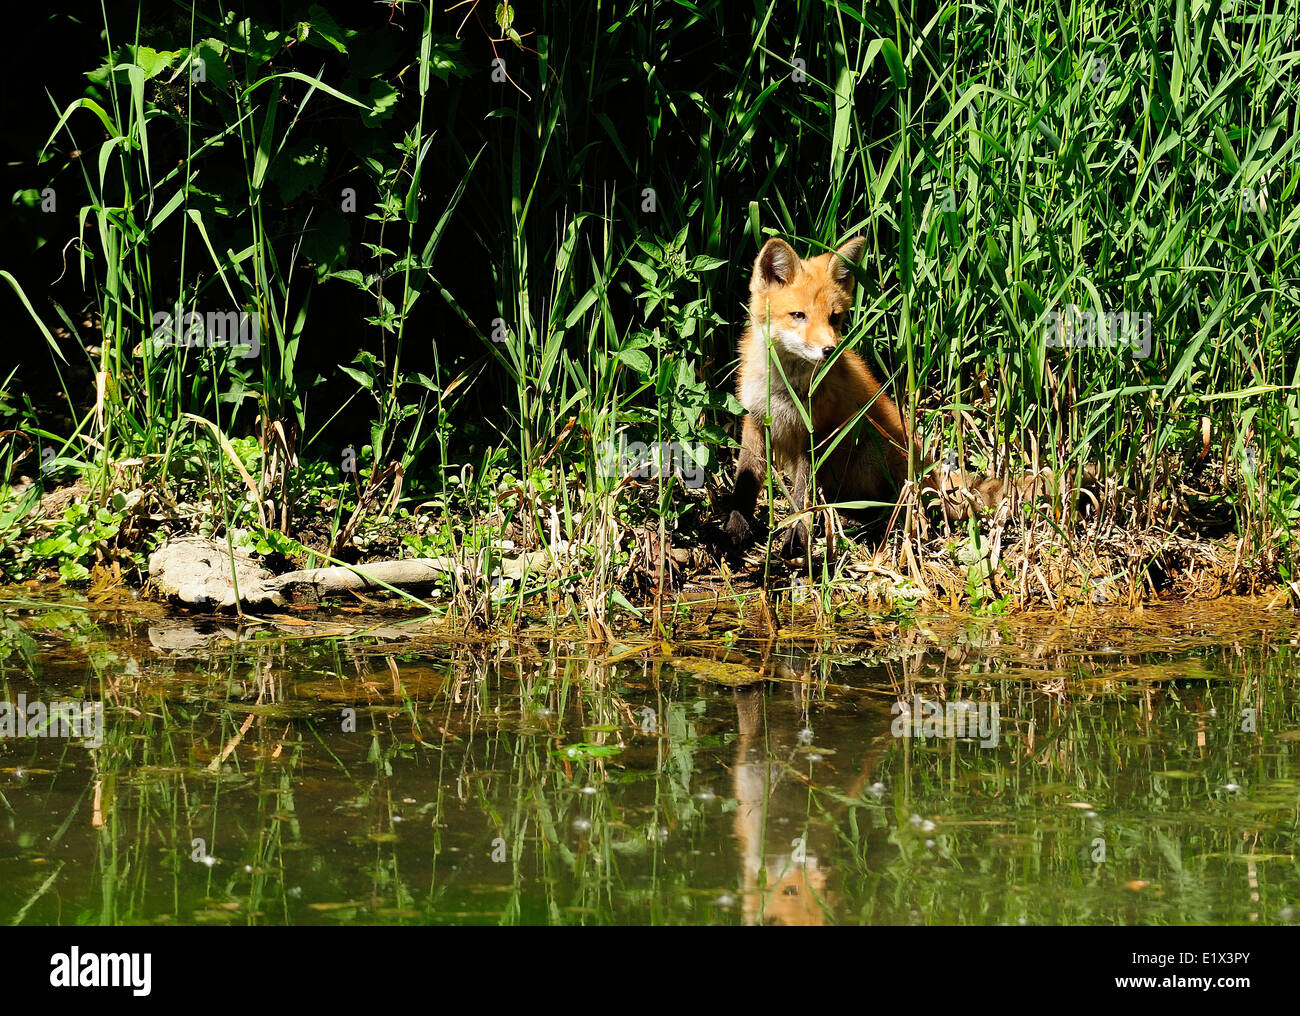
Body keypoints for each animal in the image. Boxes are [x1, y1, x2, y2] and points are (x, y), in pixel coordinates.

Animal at [723, 236, 1009, 558]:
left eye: (834, 318)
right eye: (798, 315)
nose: (830, 349)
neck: (783, 390)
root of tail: (928, 469)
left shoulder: (815, 435)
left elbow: (802, 499)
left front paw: (795, 540)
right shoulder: (756, 421)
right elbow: (744, 484)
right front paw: (735, 532)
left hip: (869, 450)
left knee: (893, 508)